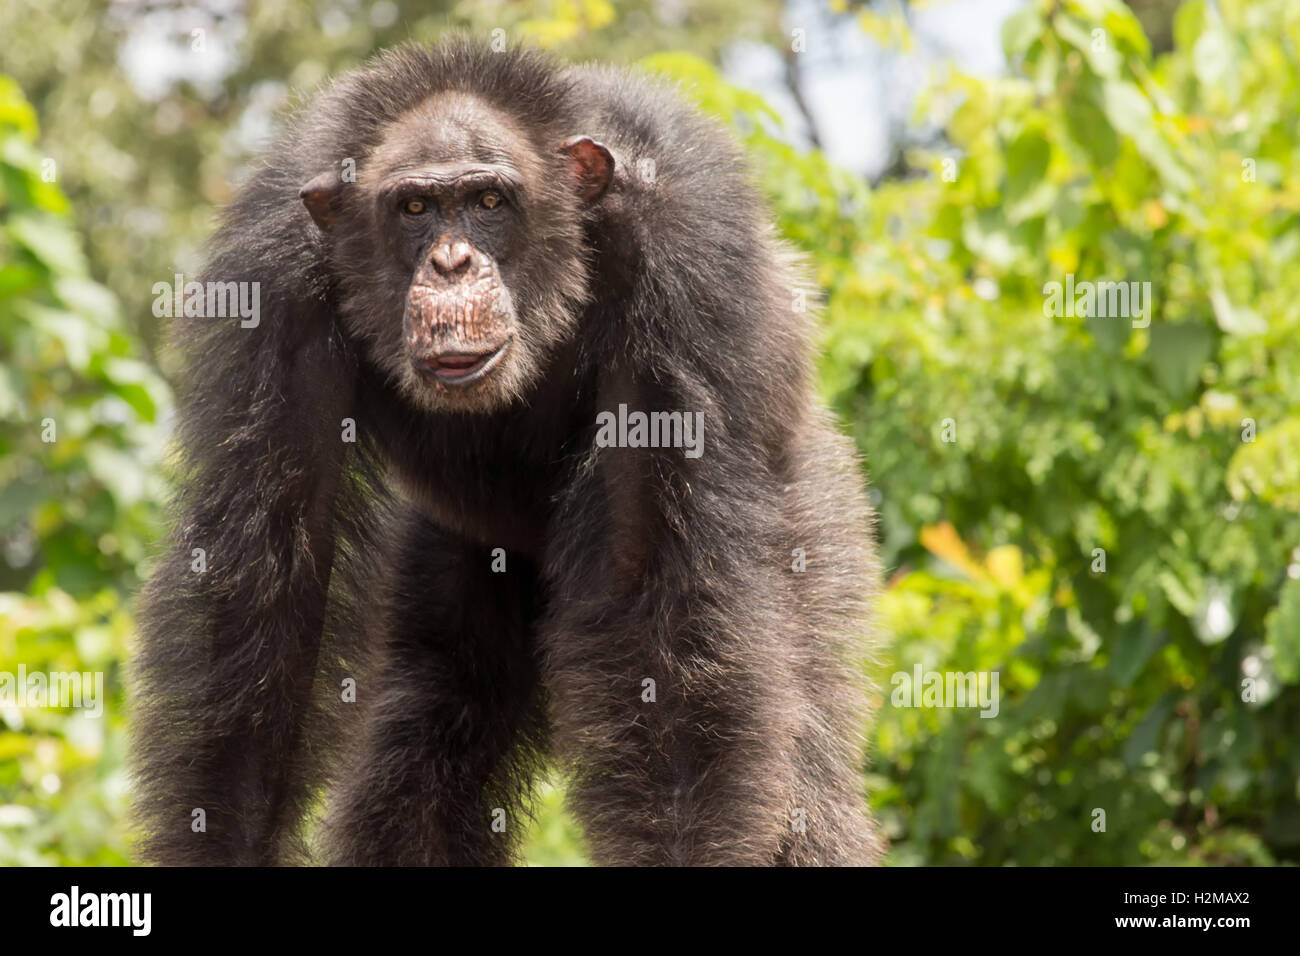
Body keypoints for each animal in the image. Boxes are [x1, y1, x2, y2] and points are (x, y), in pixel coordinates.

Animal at [130, 37, 883, 867]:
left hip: (814, 513)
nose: (452, 261)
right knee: (428, 734)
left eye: (490, 203)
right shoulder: (271, 274)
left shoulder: (687, 243)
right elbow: (269, 578)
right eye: (416, 208)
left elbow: (659, 599)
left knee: (802, 758)